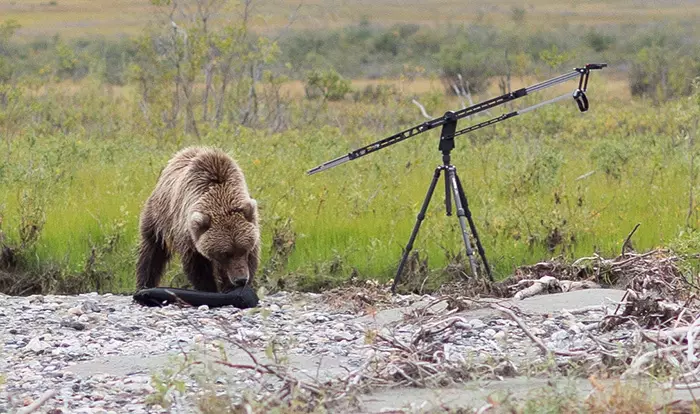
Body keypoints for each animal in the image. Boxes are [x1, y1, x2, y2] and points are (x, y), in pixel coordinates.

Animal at [135, 147, 260, 292]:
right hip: (159, 216)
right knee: (152, 251)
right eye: (225, 254)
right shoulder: (188, 234)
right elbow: (198, 267)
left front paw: (231, 286)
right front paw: (210, 287)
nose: (241, 279)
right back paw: (145, 283)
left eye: (244, 249)